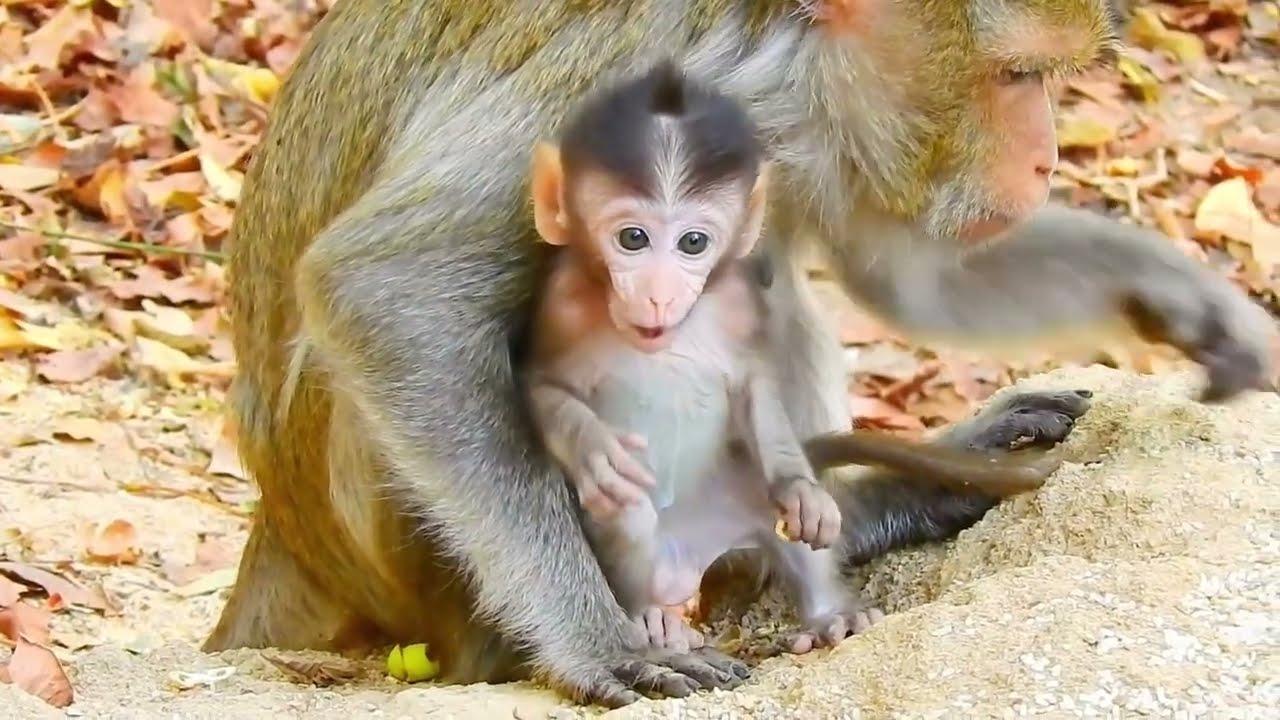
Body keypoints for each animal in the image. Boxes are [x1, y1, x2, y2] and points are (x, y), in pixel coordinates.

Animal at [525, 60, 1069, 656]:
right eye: (632, 238)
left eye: (693, 242)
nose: (658, 295)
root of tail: (689, 561)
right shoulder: (562, 306)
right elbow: (544, 388)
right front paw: (595, 451)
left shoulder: (736, 305)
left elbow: (754, 384)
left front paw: (803, 490)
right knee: (632, 519)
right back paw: (653, 617)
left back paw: (830, 612)